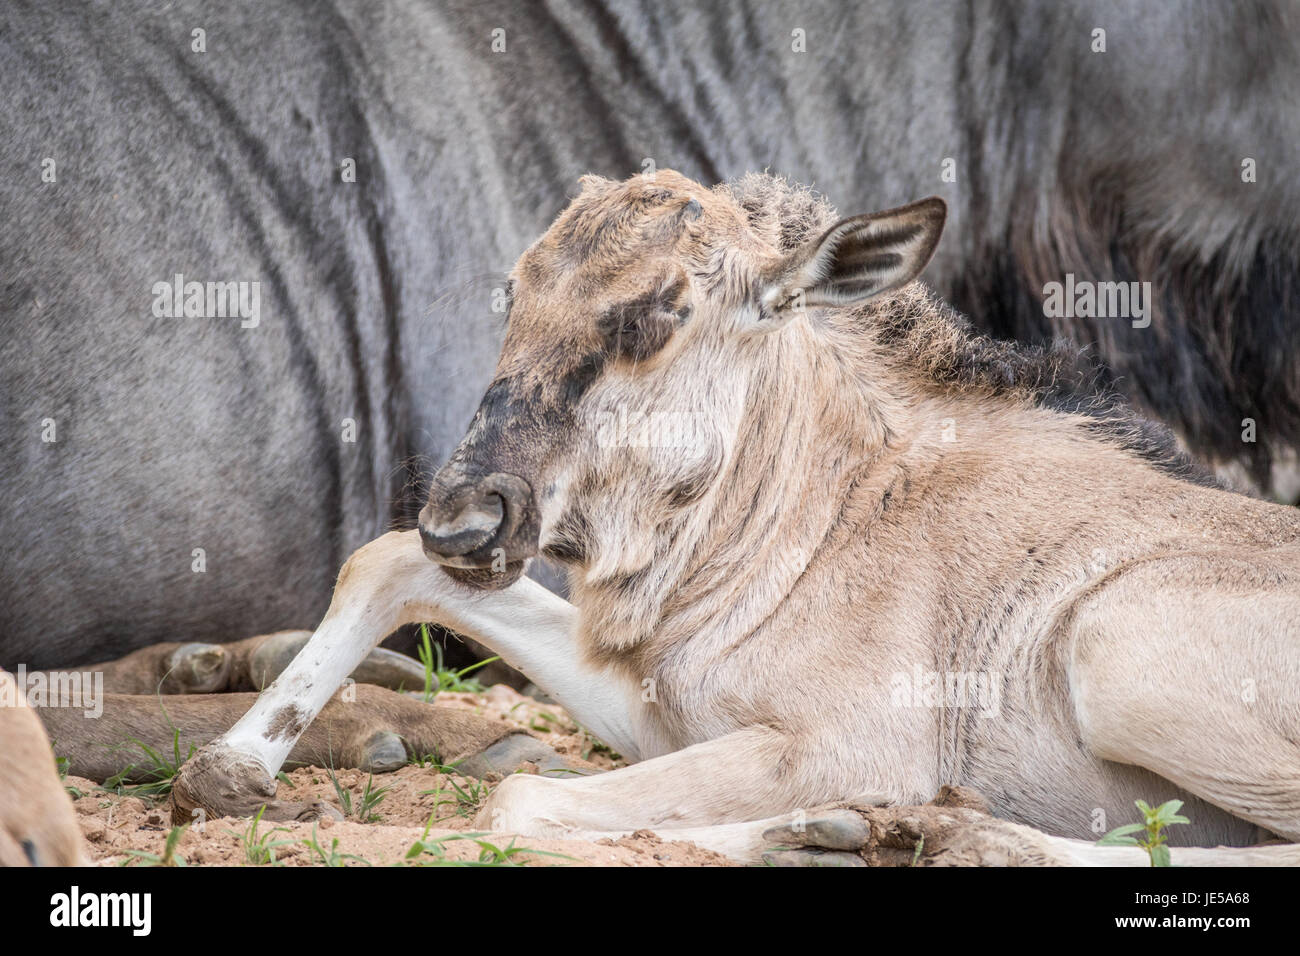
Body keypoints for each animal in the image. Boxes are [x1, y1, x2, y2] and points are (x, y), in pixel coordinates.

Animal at [163, 171, 1300, 865]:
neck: (823, 515)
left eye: (660, 308)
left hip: (1111, 650)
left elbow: (519, 804)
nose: (468, 518)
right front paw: (228, 768)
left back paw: (935, 837)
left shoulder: (844, 745)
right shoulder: (655, 711)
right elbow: (385, 557)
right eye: (518, 288)